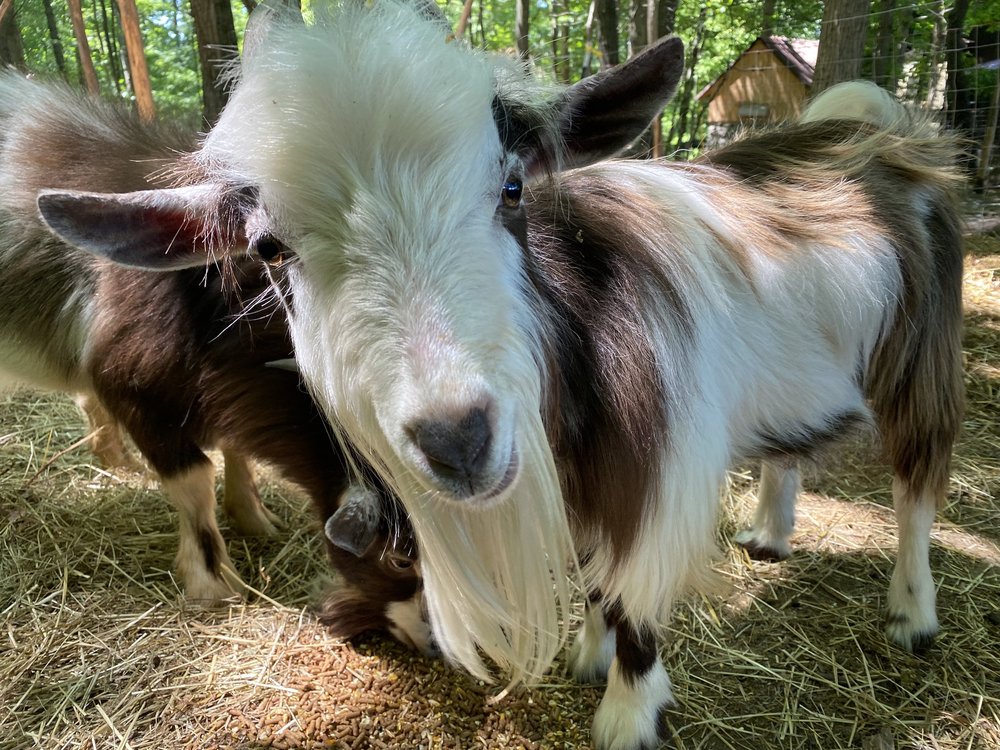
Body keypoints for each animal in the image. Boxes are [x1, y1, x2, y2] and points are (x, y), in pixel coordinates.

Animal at [0, 71, 427, 647]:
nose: (437, 644)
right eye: (401, 559)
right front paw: (213, 583)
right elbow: (194, 482)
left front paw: (254, 518)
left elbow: (234, 452)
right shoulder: (140, 398)